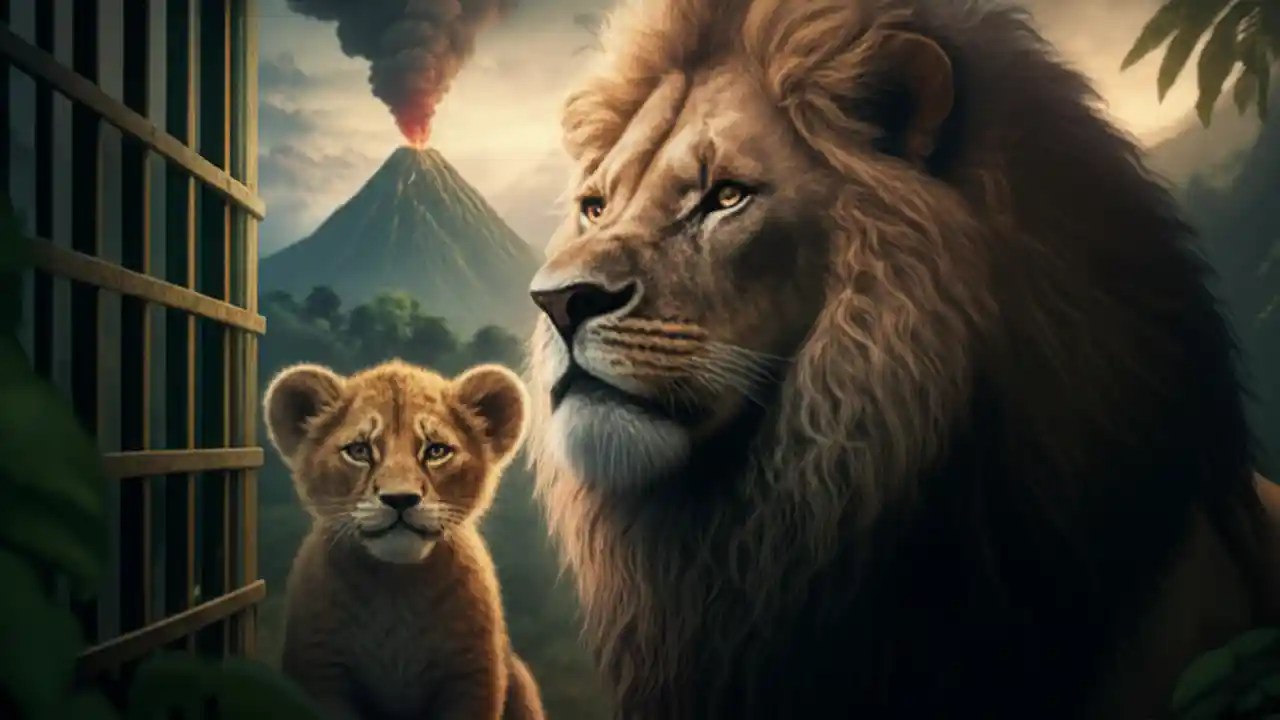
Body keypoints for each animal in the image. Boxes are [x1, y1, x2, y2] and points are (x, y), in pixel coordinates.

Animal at [263, 360, 545, 720]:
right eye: (359, 450)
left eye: (436, 451)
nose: (400, 499)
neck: (396, 586)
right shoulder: (322, 669)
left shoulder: (471, 675)